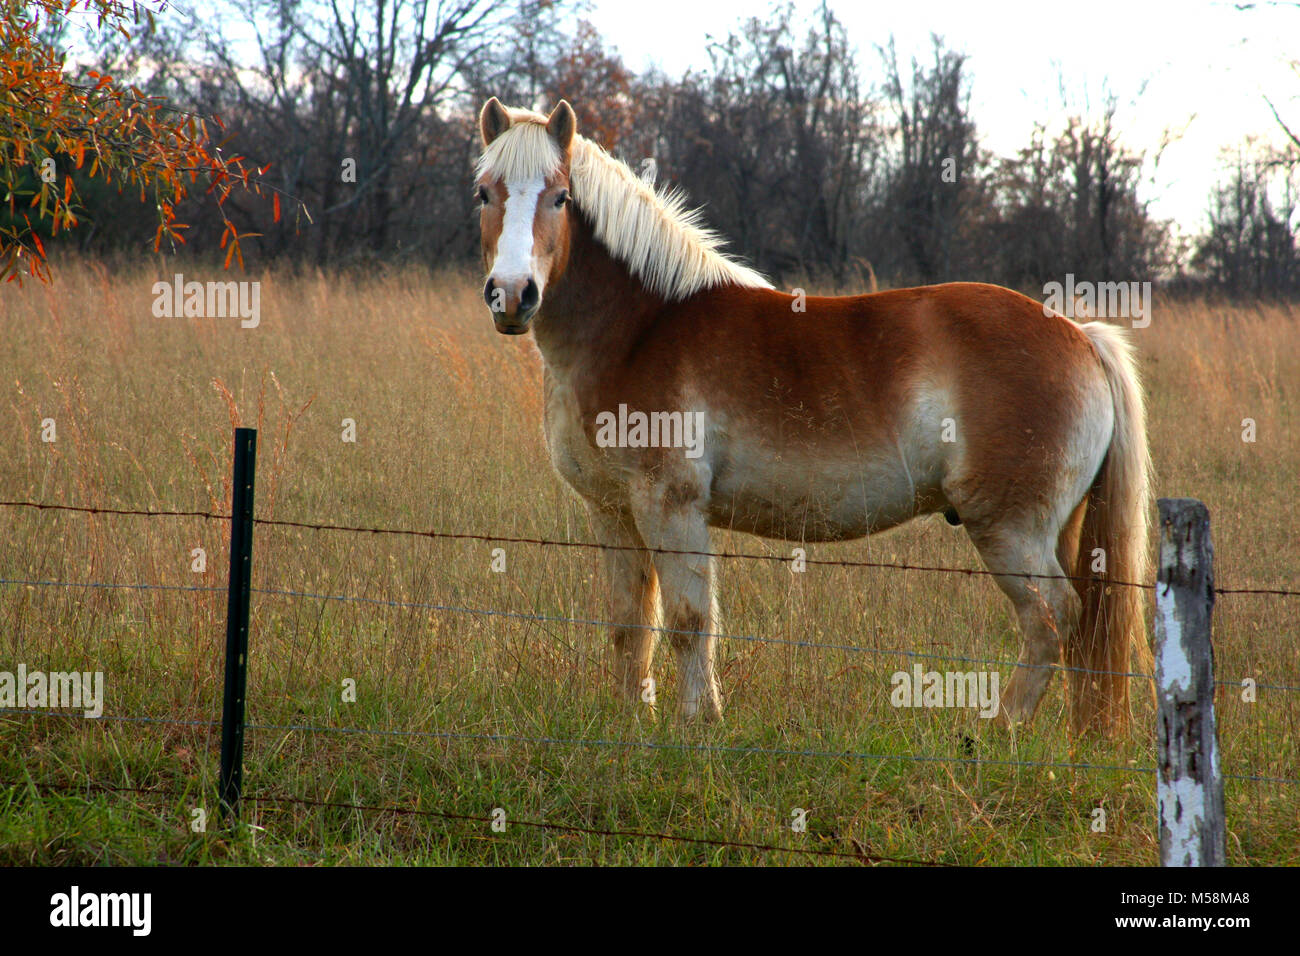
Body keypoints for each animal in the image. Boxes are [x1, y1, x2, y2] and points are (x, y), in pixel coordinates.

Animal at [473, 97, 1153, 736]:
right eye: (485, 193)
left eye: (560, 197)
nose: (512, 295)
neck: (640, 328)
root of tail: (1080, 336)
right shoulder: (612, 511)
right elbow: (628, 624)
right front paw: (629, 722)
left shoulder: (671, 505)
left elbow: (691, 622)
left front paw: (698, 723)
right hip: (1052, 528)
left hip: (1010, 528)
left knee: (1051, 619)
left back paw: (995, 732)